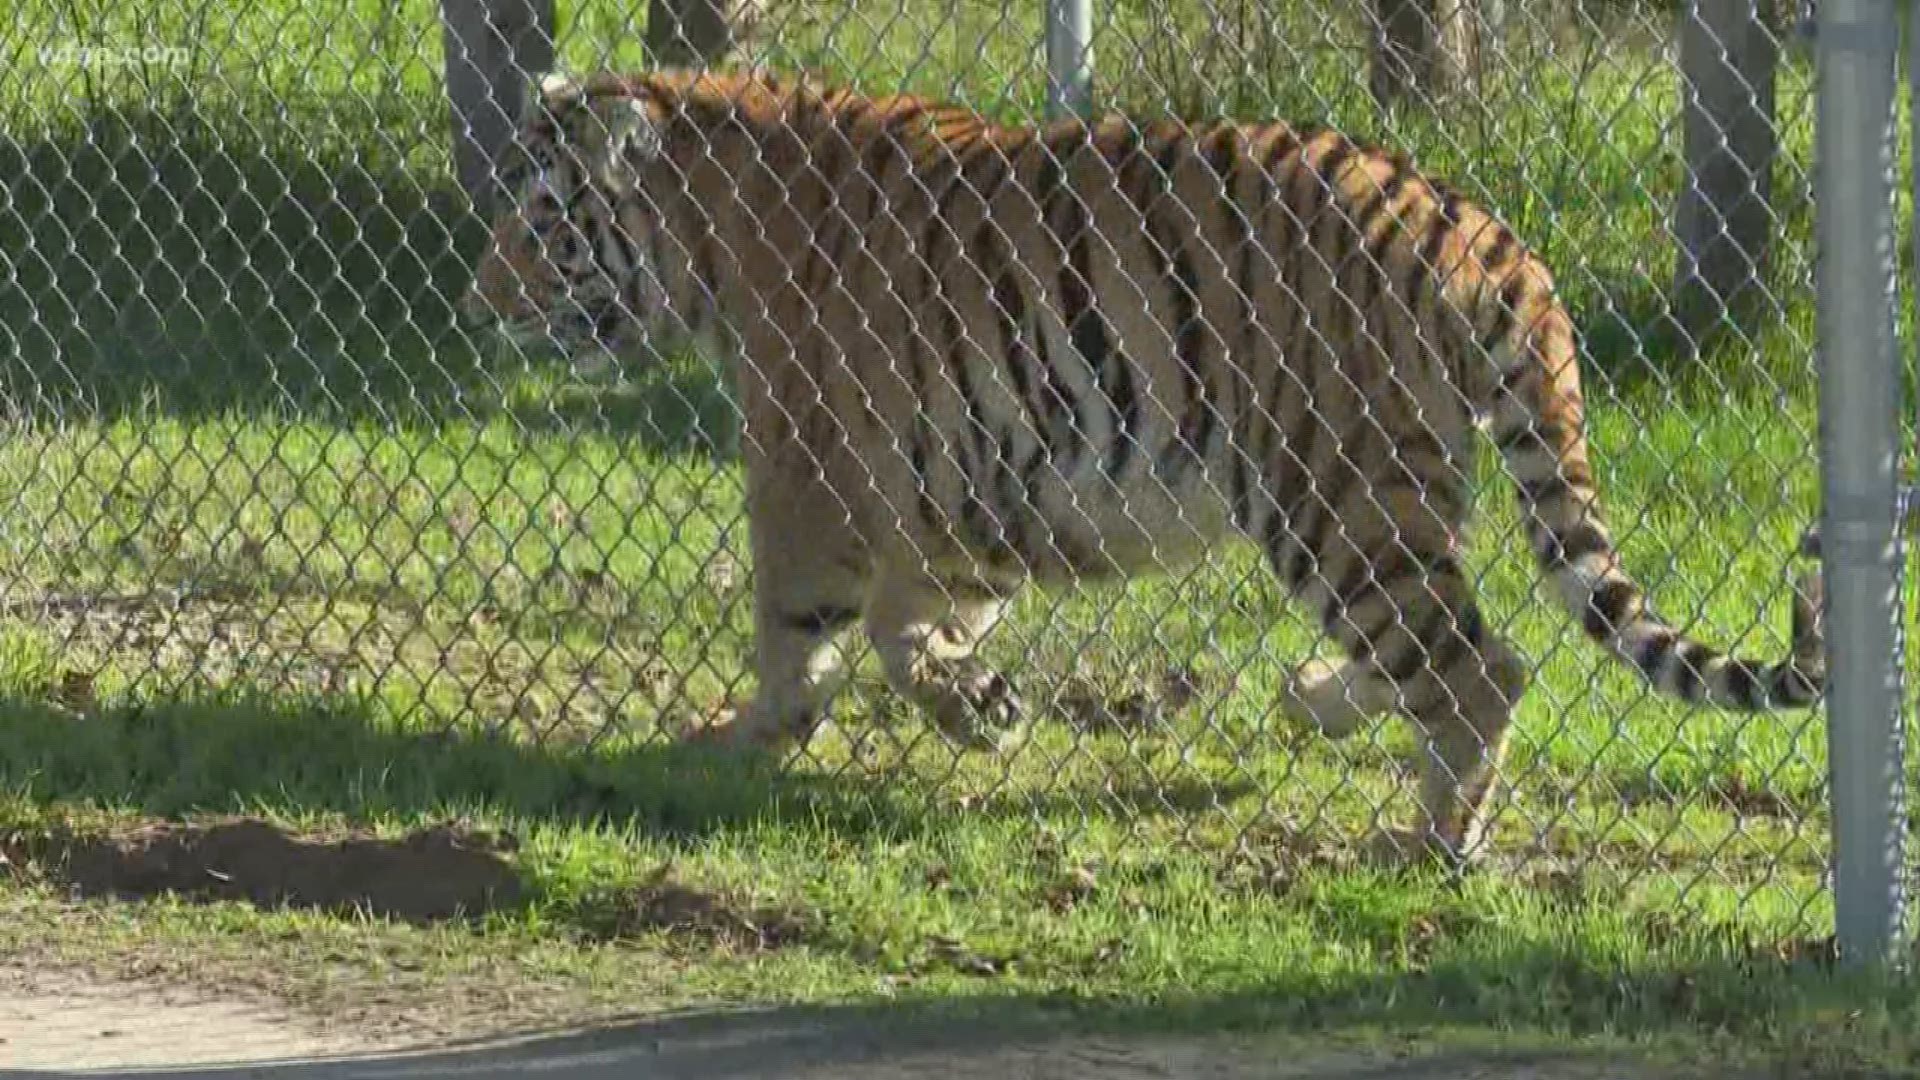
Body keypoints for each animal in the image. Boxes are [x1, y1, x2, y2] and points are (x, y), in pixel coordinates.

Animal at [459, 69, 1825, 864]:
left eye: (541, 215)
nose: (483, 298)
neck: (699, 240)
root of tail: (1483, 230)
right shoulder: (971, 478)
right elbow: (911, 626)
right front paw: (980, 707)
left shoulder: (809, 458)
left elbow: (800, 626)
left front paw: (741, 739)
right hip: (1381, 492)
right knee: (1453, 649)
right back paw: (1315, 702)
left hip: (1330, 488)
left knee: (1480, 665)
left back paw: (1427, 838)